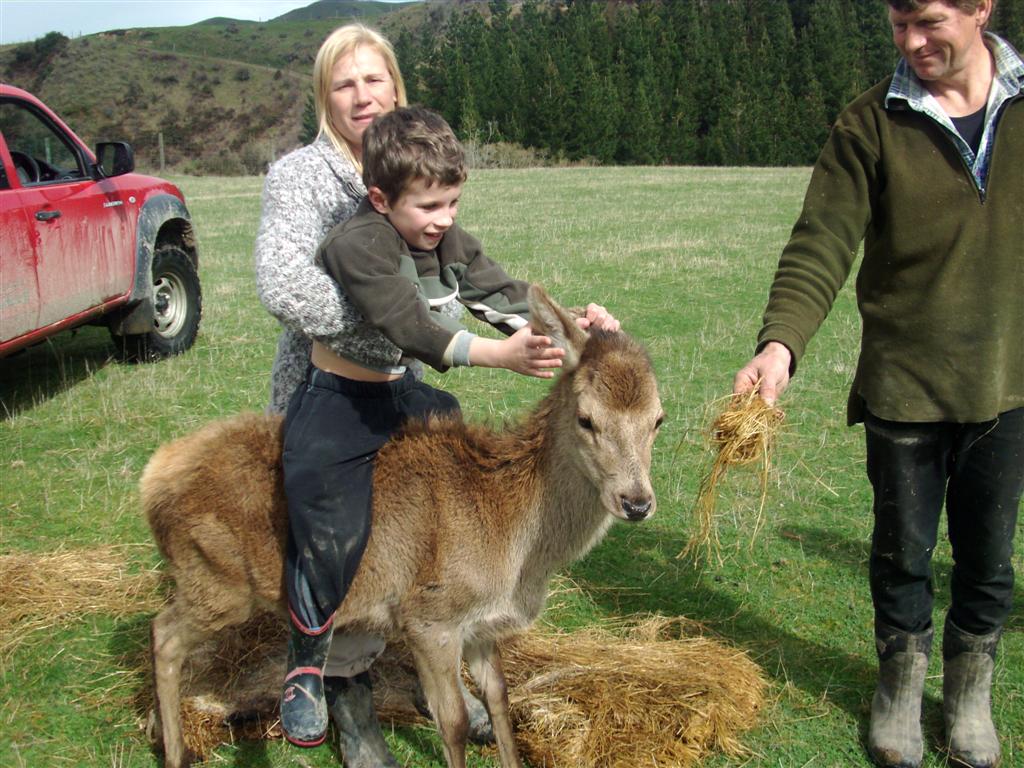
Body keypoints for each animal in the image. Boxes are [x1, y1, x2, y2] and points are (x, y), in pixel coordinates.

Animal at [143, 286, 664, 768]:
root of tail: (152, 479)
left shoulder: (482, 625)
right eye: (586, 419)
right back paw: (177, 751)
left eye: (658, 418)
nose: (636, 502)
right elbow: (451, 722)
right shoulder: (430, 616)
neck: (514, 546)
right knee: (163, 634)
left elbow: (500, 699)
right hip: (217, 581)